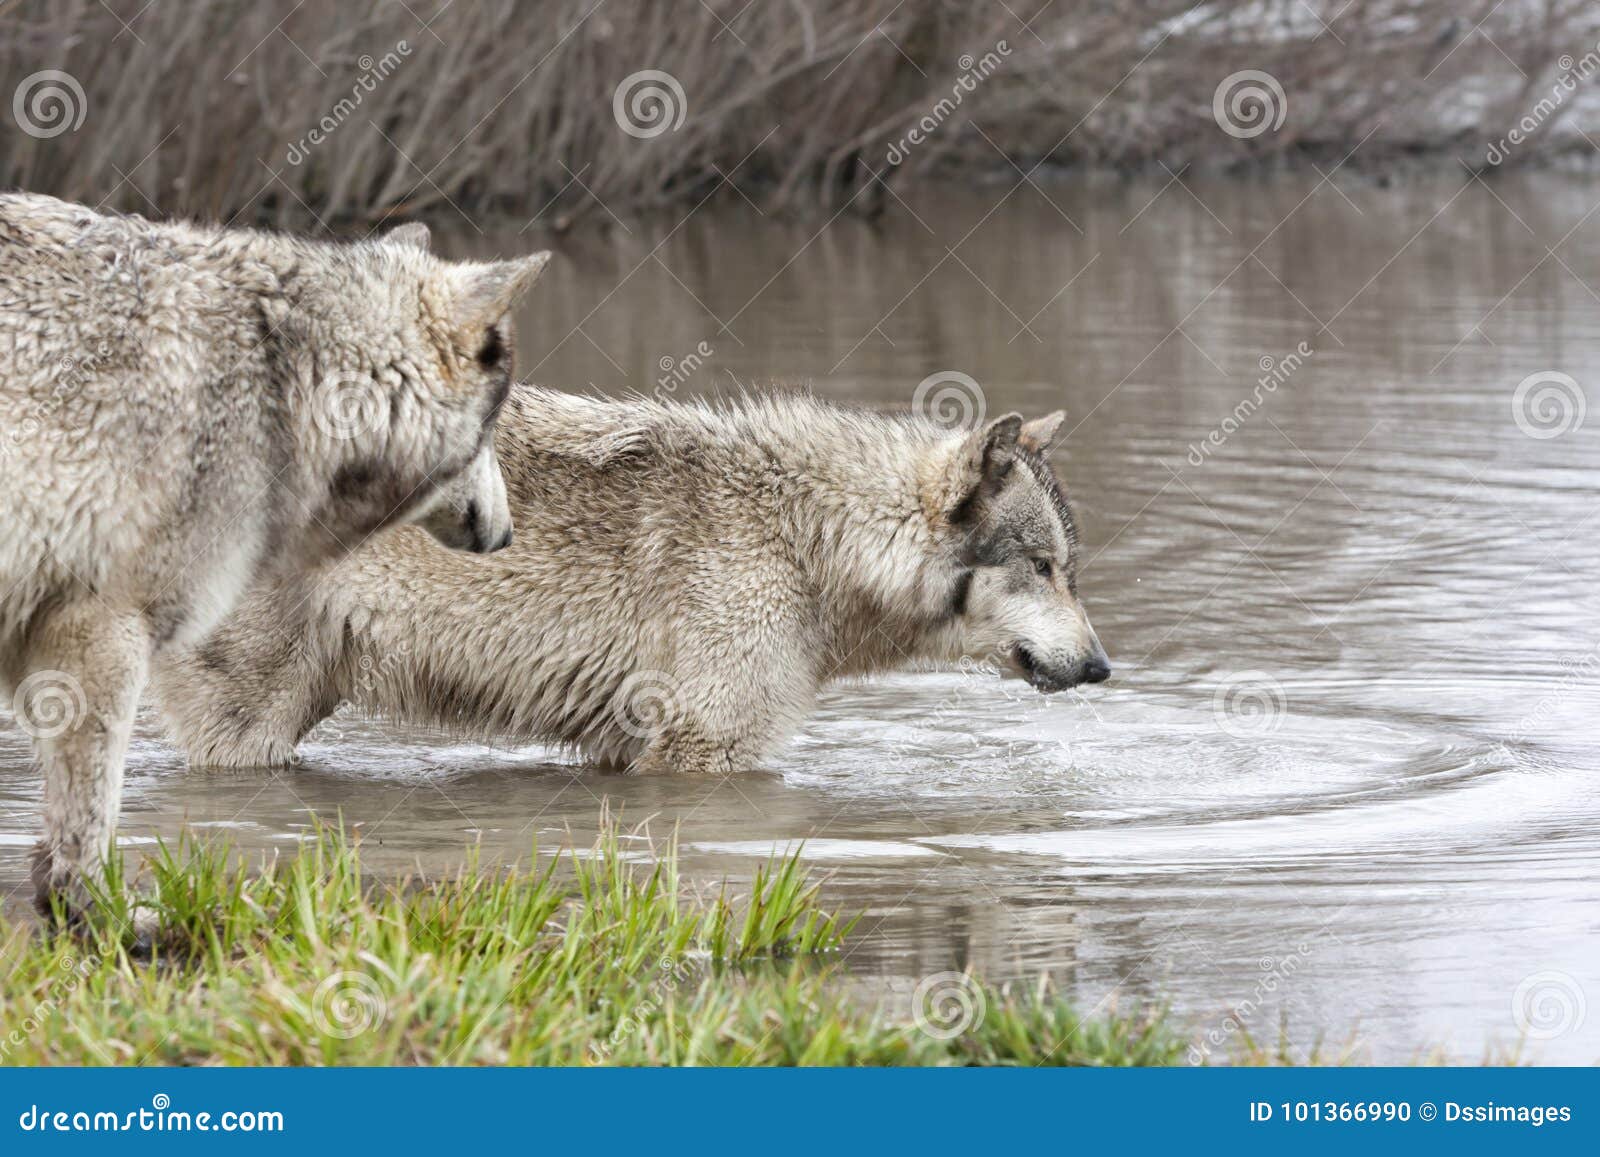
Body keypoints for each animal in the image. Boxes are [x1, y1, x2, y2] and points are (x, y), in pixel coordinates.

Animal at [0, 192, 550, 911]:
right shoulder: (99, 630)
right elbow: (86, 821)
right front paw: (103, 912)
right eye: (492, 427)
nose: (508, 534)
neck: (292, 379)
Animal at [157, 388, 1111, 776]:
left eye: (1069, 570)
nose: (1104, 667)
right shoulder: (706, 750)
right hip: (251, 723)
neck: (810, 538)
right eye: (1042, 568)